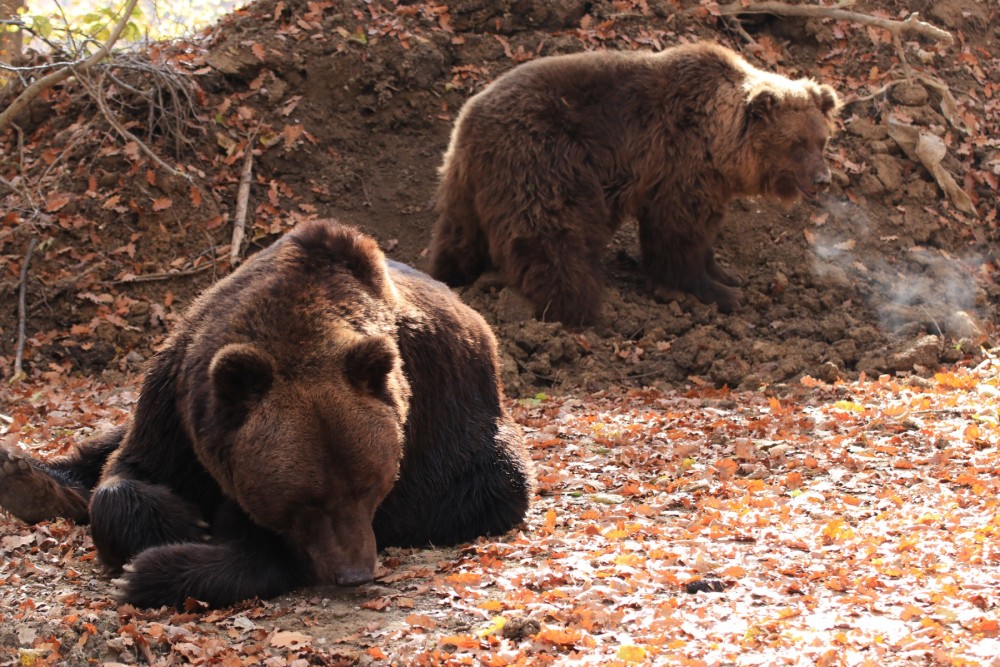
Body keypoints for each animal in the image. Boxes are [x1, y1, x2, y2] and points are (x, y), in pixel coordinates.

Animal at [0, 219, 534, 609]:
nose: (354, 573)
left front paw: (160, 567)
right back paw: (25, 477)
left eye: (369, 487)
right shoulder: (177, 399)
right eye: (308, 500)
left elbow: (462, 486)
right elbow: (128, 474)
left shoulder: (435, 398)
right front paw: (181, 524)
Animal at [429, 41, 840, 326]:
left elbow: (703, 234)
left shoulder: (705, 180)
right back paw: (579, 306)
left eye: (822, 140)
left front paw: (728, 275)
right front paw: (719, 292)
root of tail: (469, 115)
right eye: (796, 143)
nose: (823, 179)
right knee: (552, 235)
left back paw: (450, 276)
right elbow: (678, 233)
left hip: (466, 182)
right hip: (545, 158)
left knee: (459, 234)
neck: (718, 144)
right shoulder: (677, 164)